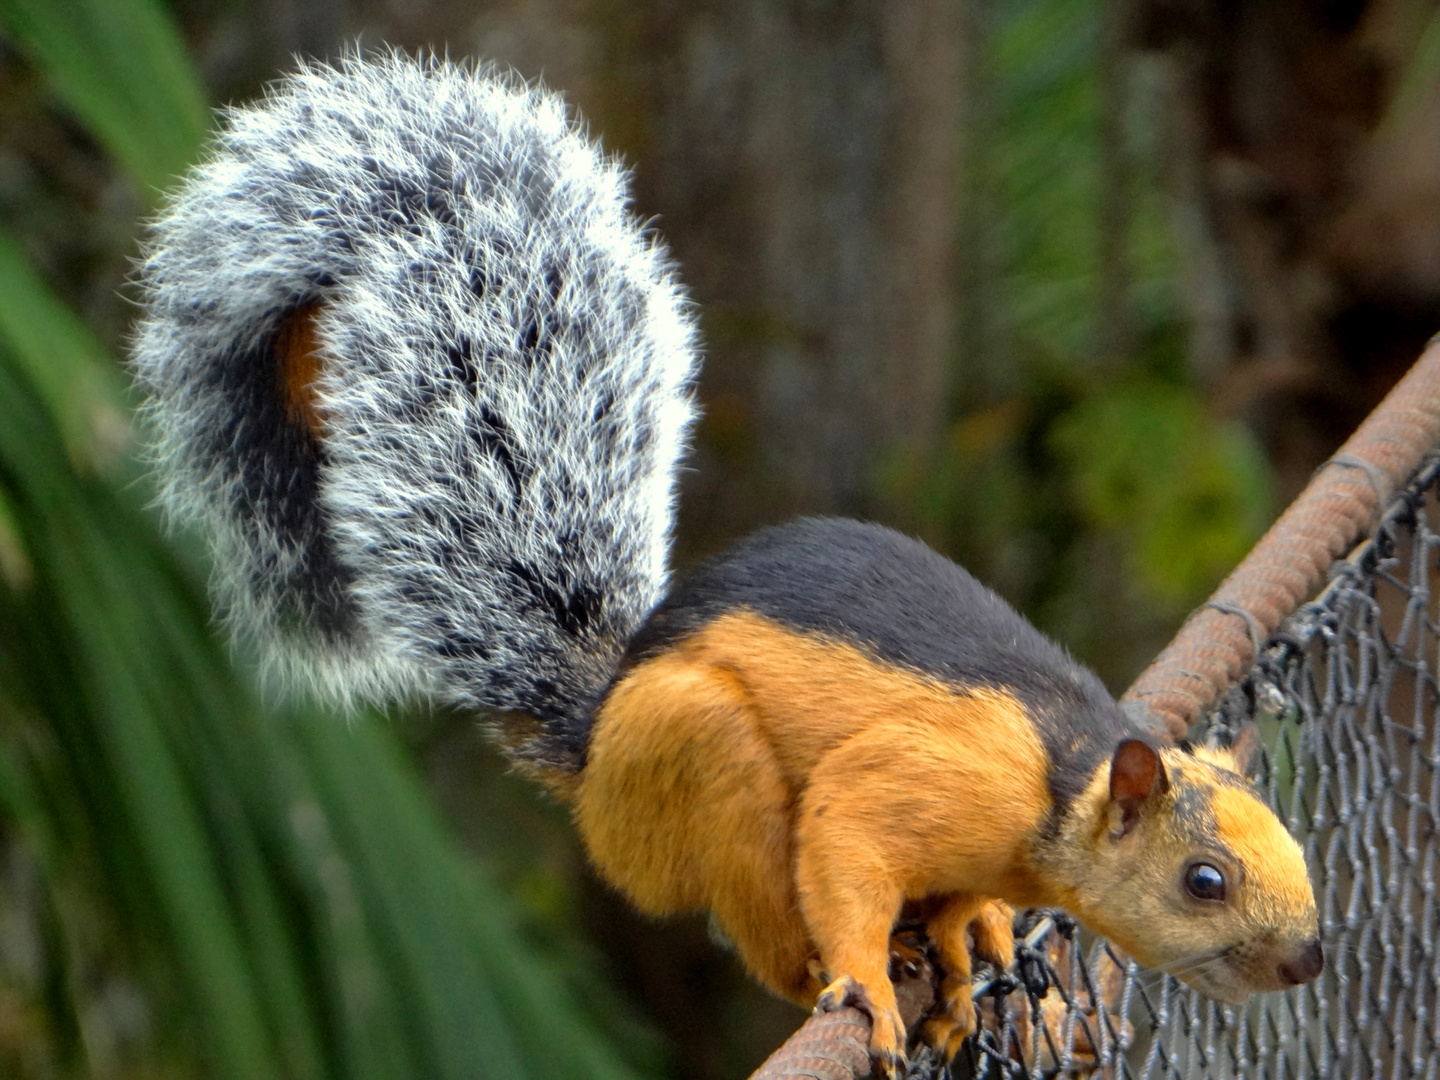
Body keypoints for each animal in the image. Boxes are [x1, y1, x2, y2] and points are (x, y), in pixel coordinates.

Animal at [130, 51, 1323, 1076]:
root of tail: (597, 740)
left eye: (1297, 852)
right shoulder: (923, 776)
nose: (1308, 958)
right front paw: (873, 981)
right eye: (1204, 880)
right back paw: (837, 971)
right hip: (697, 762)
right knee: (763, 923)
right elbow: (848, 844)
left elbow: (942, 896)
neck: (1060, 771)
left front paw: (964, 931)